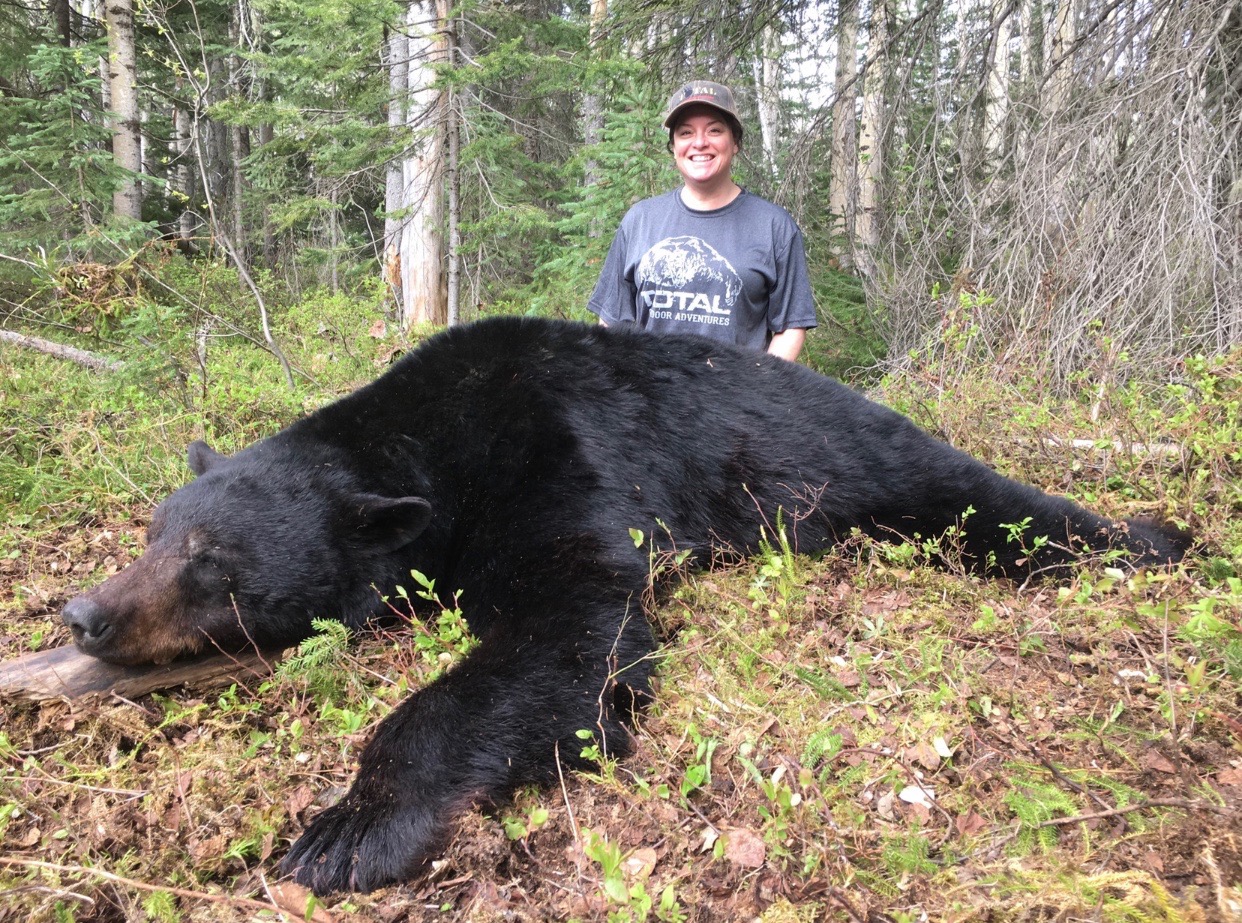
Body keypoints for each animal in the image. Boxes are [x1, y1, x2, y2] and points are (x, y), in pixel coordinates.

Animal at [60, 316, 1187, 894]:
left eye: (210, 559)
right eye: (156, 529)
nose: (83, 614)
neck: (437, 443)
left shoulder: (557, 455)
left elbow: (572, 631)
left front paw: (346, 826)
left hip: (857, 459)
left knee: (988, 503)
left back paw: (1155, 538)